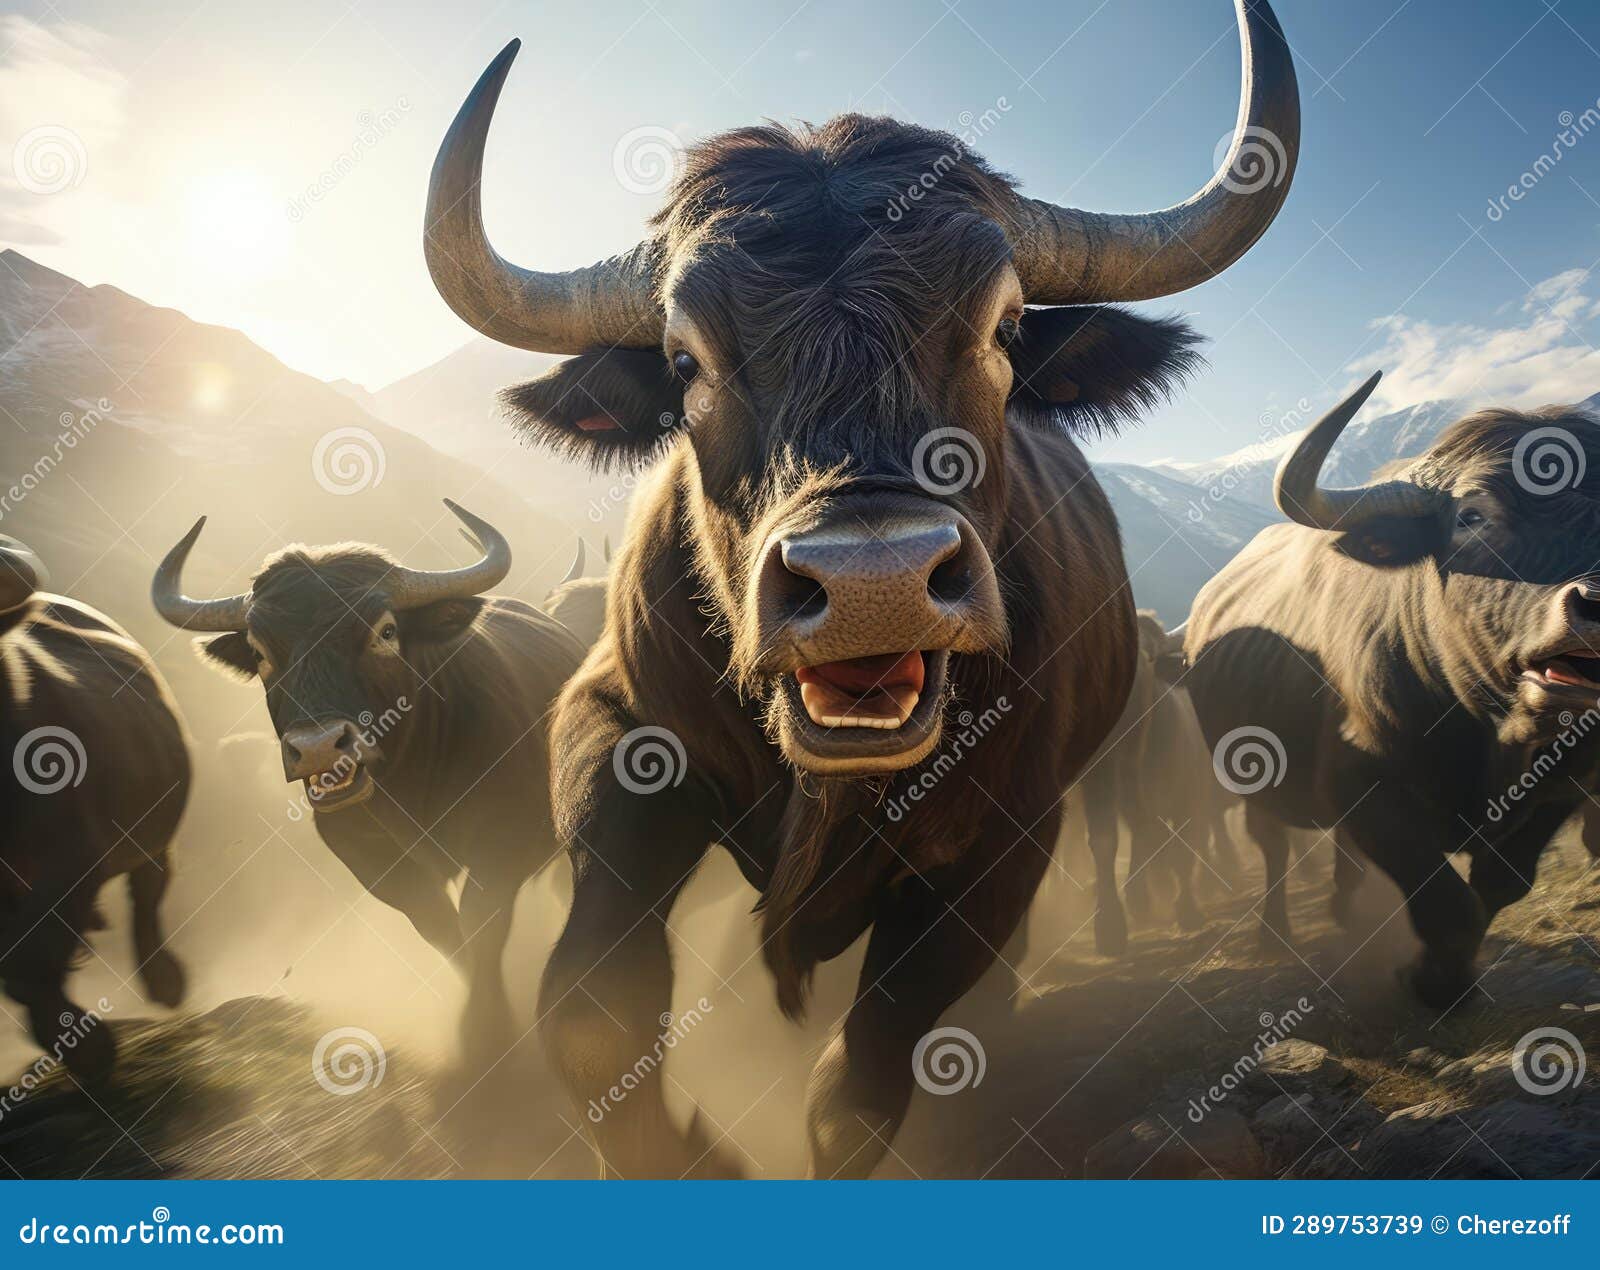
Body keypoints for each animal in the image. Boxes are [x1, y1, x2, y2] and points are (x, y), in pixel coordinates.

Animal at [0, 535, 189, 1078]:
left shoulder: (73, 860)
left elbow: (28, 960)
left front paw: (87, 1048)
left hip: (152, 841)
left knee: (148, 895)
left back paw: (165, 980)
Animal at [151, 501, 584, 1054]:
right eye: (260, 651)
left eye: (386, 631)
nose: (317, 747)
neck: (414, 786)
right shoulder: (371, 859)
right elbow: (442, 930)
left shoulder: (499, 850)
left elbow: (481, 929)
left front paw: (488, 1032)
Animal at [422, 0, 1299, 1176]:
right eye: (685, 361)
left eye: (1005, 328)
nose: (874, 584)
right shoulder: (611, 722)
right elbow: (587, 1010)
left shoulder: (1010, 835)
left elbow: (869, 1071)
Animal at [1181, 371, 1600, 1009]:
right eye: (1470, 517)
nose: (1596, 607)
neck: (1490, 736)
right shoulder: (1364, 787)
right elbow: (1446, 901)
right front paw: (1432, 984)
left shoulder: (1561, 789)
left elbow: (1498, 886)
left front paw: (1444, 975)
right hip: (1248, 776)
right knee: (1272, 846)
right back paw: (1275, 933)